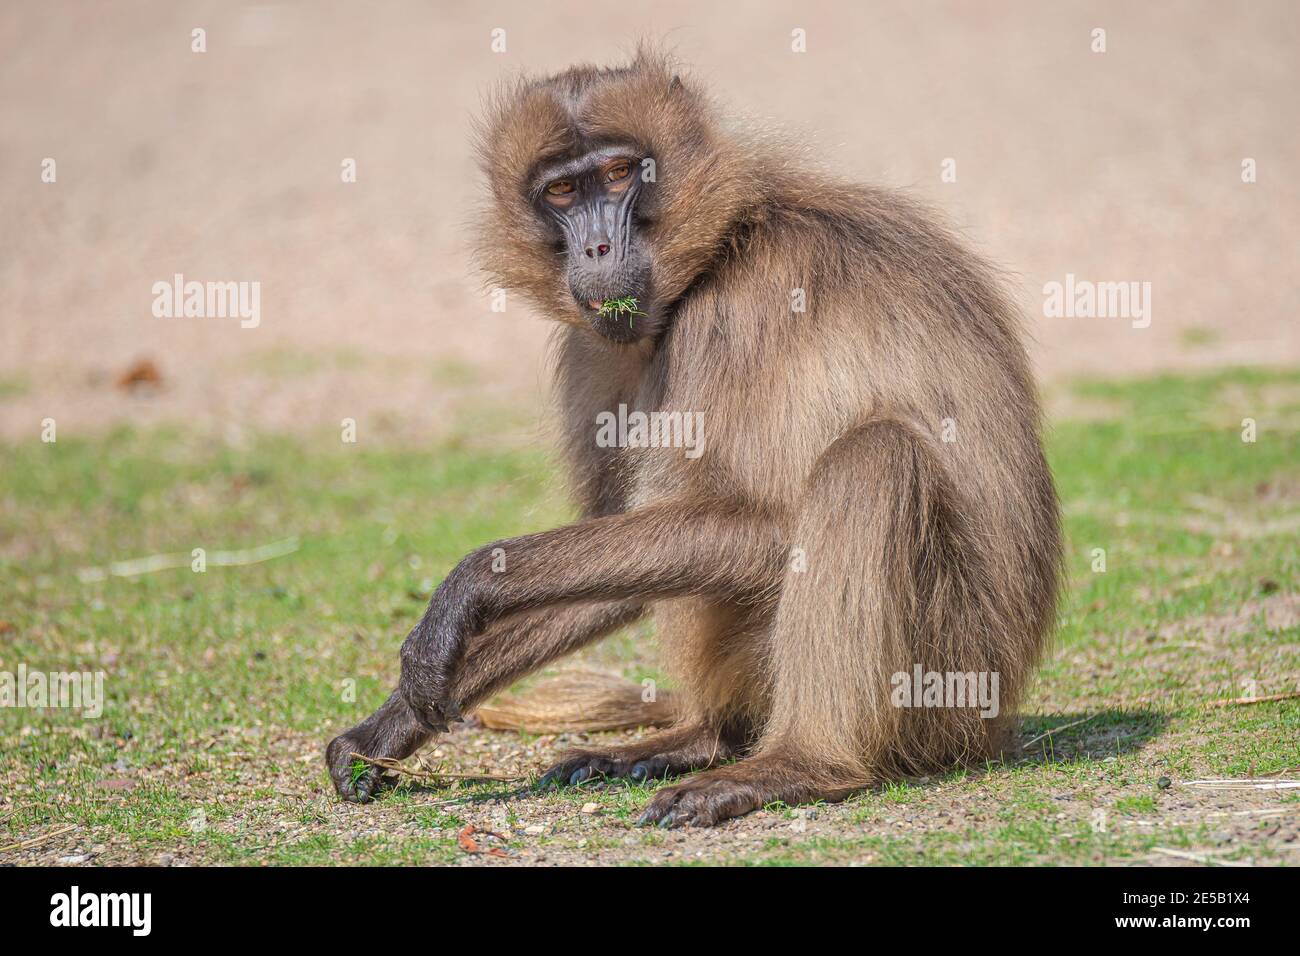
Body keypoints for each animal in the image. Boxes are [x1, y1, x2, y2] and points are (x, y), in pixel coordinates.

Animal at [325, 48, 1063, 827]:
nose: (598, 247)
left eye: (621, 173)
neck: (712, 256)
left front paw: (467, 590)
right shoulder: (593, 344)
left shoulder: (735, 319)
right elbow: (615, 548)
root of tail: (998, 710)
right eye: (562, 189)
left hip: (950, 680)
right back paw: (700, 738)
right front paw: (393, 722)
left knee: (872, 459)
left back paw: (800, 763)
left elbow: (776, 524)